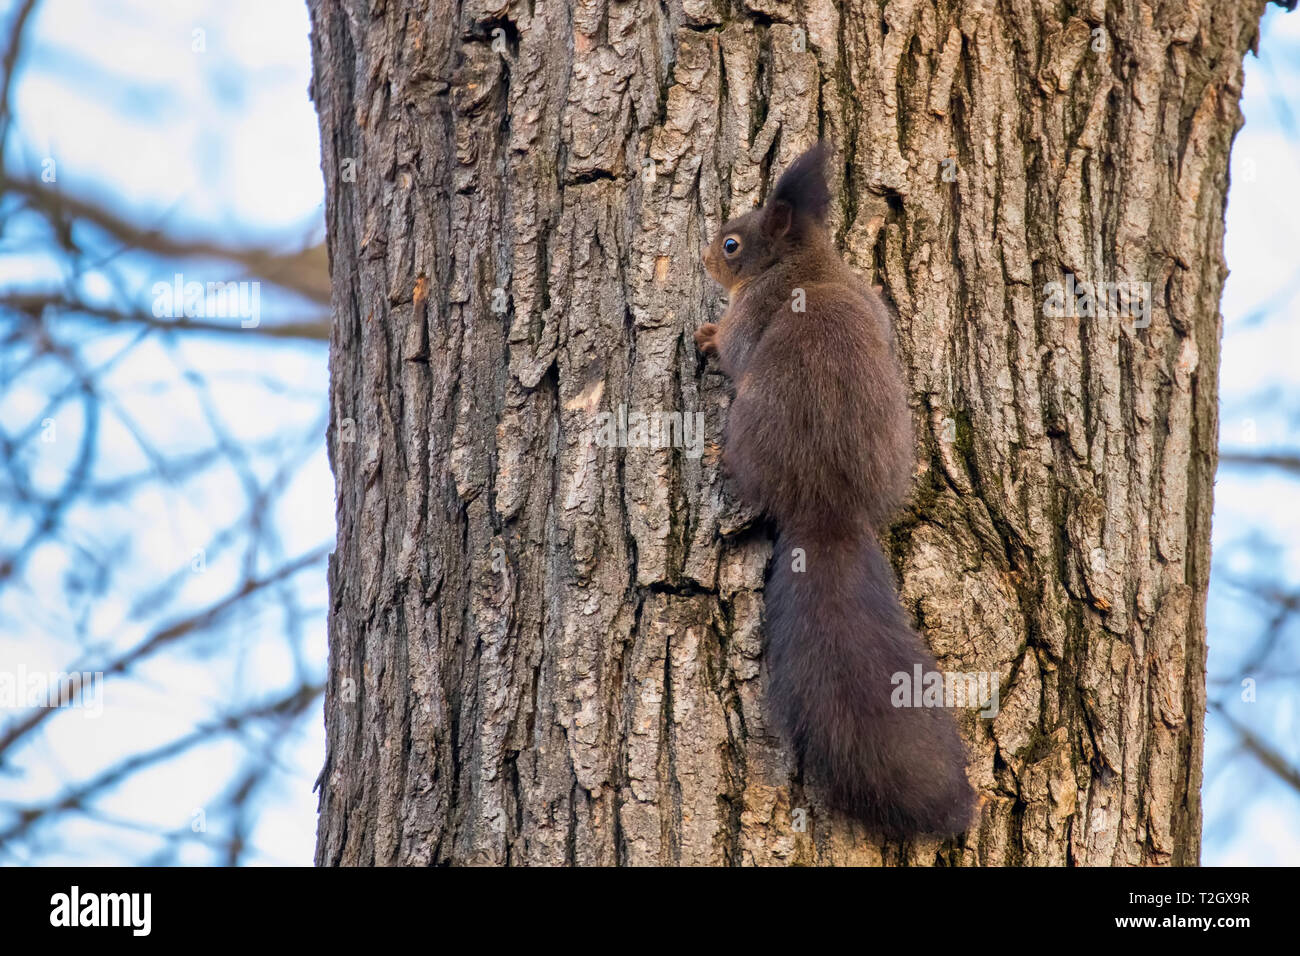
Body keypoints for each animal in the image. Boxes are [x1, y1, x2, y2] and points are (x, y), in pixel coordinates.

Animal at [696, 143, 974, 838]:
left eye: (732, 243)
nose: (706, 257)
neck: (805, 261)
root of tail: (828, 508)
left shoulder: (752, 312)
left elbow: (733, 345)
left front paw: (709, 337)